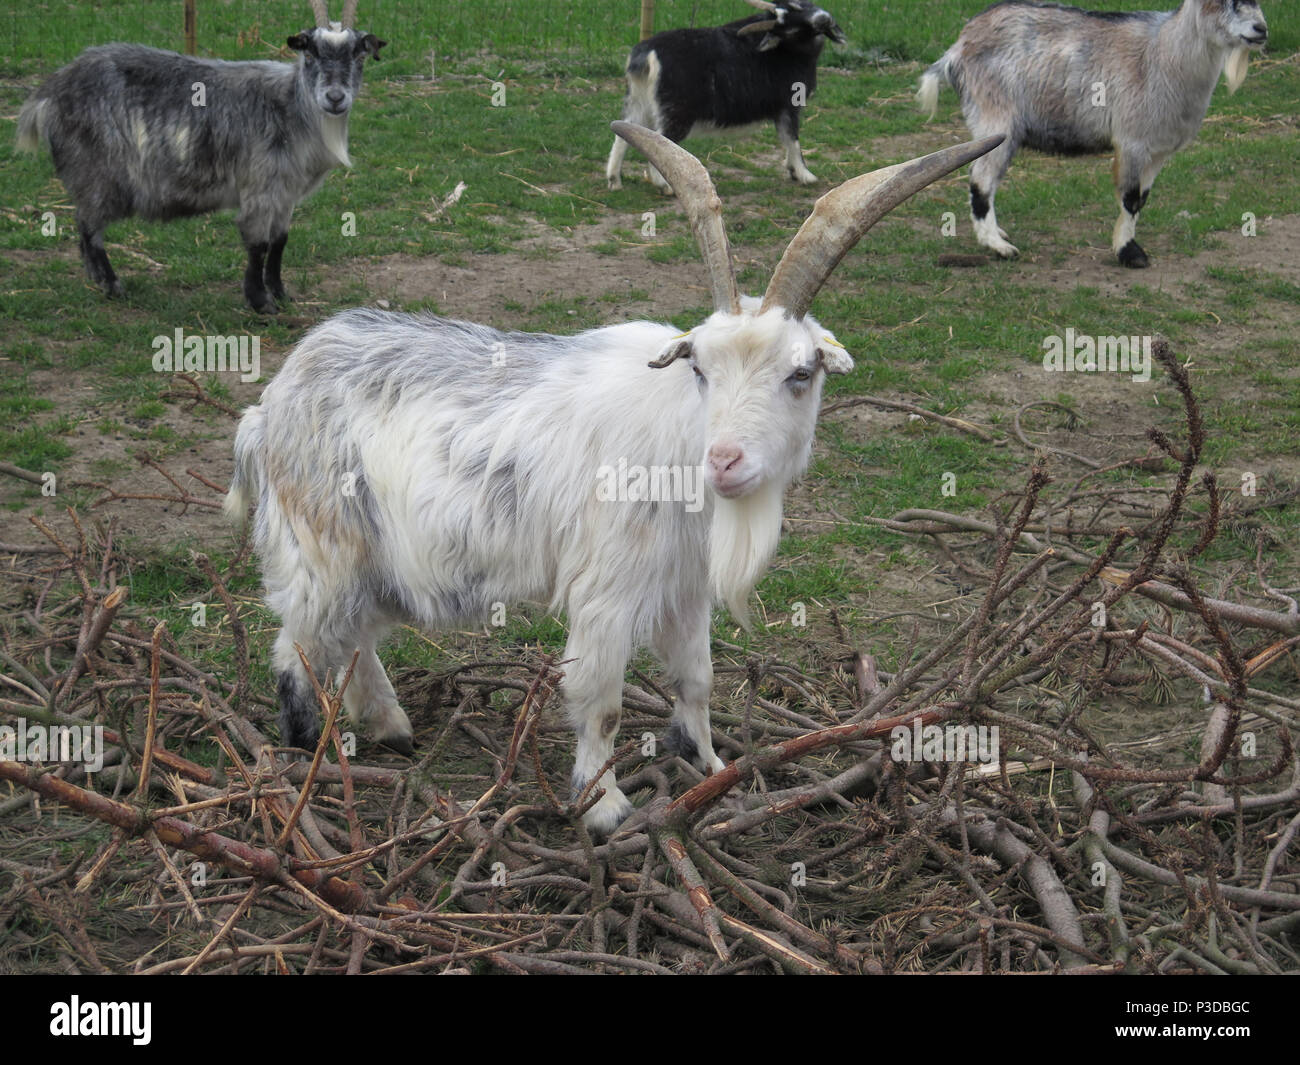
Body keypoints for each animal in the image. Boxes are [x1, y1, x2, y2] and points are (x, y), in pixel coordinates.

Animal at [15, 0, 385, 312]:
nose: (335, 98)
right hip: (95, 171)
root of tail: (51, 89)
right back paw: (111, 284)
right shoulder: (260, 184)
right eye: (309, 52)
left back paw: (97, 278)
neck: (292, 108)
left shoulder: (285, 192)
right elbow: (257, 243)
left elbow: (280, 241)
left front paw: (280, 293)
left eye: (359, 54)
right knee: (88, 225)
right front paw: (260, 302)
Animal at [226, 124, 1000, 835]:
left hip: (370, 558)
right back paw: (306, 757)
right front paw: (603, 807)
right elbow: (599, 698)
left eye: (800, 372)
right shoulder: (607, 590)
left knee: (354, 634)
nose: (725, 460)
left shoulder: (683, 586)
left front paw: (709, 766)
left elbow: (697, 678)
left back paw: (390, 725)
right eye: (700, 367)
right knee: (299, 646)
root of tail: (270, 403)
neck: (682, 443)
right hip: (321, 544)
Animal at [606, 0, 845, 193]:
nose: (823, 19)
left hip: (638, 100)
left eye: (799, 5)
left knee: (625, 131)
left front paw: (793, 171)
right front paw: (806, 175)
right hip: (675, 112)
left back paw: (614, 179)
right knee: (660, 141)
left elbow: (787, 139)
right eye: (789, 30)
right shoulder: (788, 104)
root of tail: (648, 54)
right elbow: (792, 138)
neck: (786, 50)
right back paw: (665, 186)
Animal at [917, 0, 1268, 267]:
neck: (1163, 53)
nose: (1261, 29)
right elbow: (1130, 197)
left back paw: (998, 234)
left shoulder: (1158, 149)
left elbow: (1142, 198)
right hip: (995, 118)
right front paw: (1129, 253)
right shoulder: (1132, 140)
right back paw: (997, 246)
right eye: (1222, 1)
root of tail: (958, 46)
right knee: (981, 180)